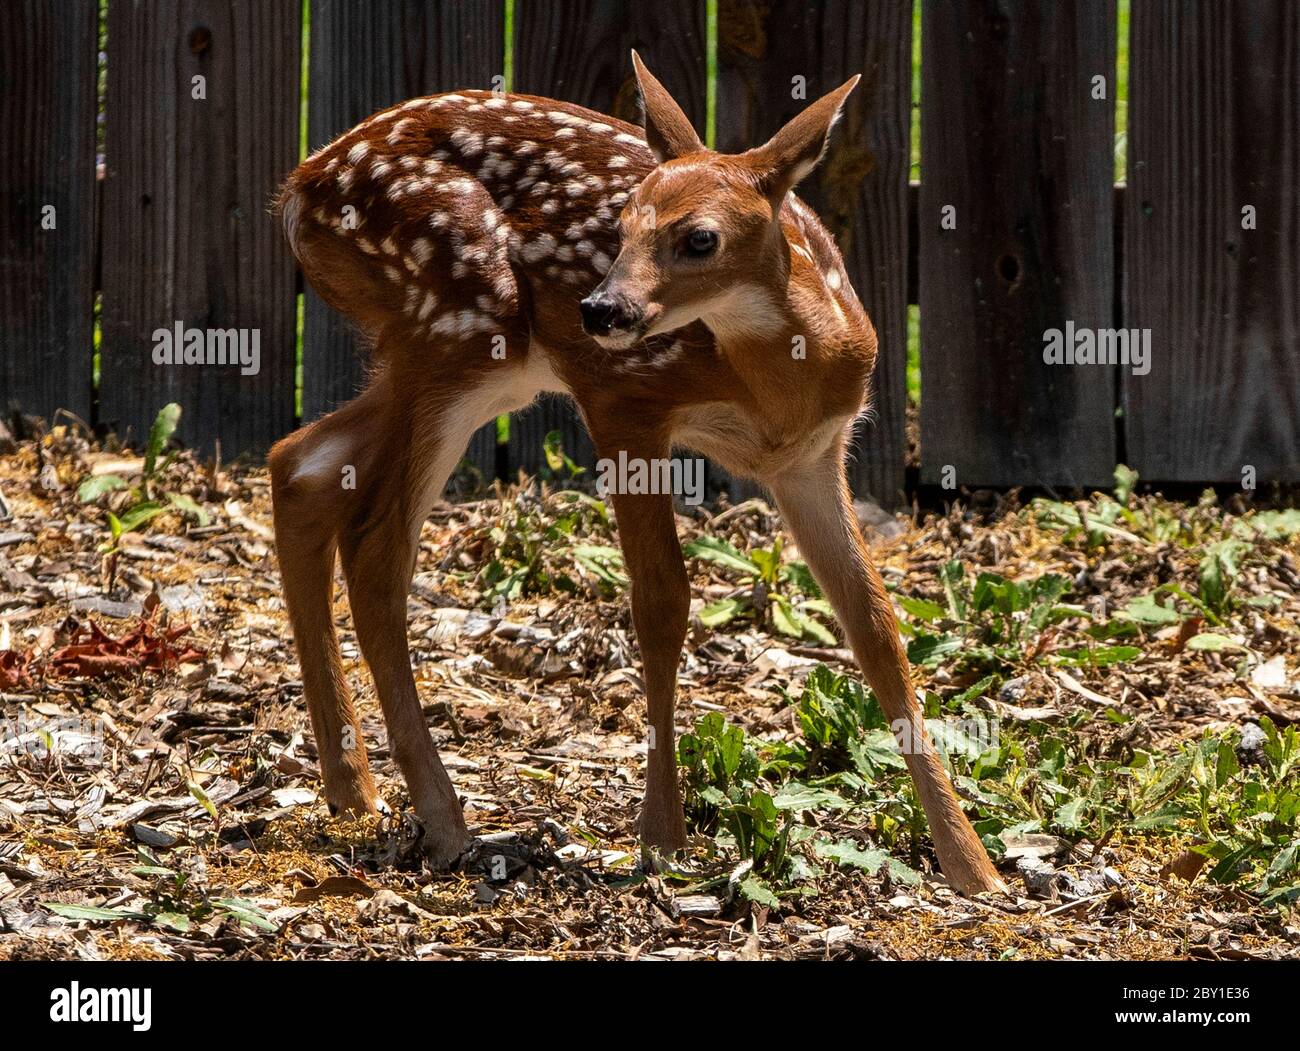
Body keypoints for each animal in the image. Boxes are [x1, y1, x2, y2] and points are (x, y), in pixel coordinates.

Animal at [269, 52, 1006, 895]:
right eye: (619, 227)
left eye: (700, 238)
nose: (601, 309)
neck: (774, 383)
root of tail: (299, 189)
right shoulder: (621, 401)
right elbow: (662, 601)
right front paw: (662, 832)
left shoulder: (812, 457)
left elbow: (876, 625)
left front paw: (973, 864)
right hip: (458, 325)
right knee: (375, 540)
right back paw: (446, 819)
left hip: (463, 358)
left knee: (300, 462)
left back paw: (352, 787)